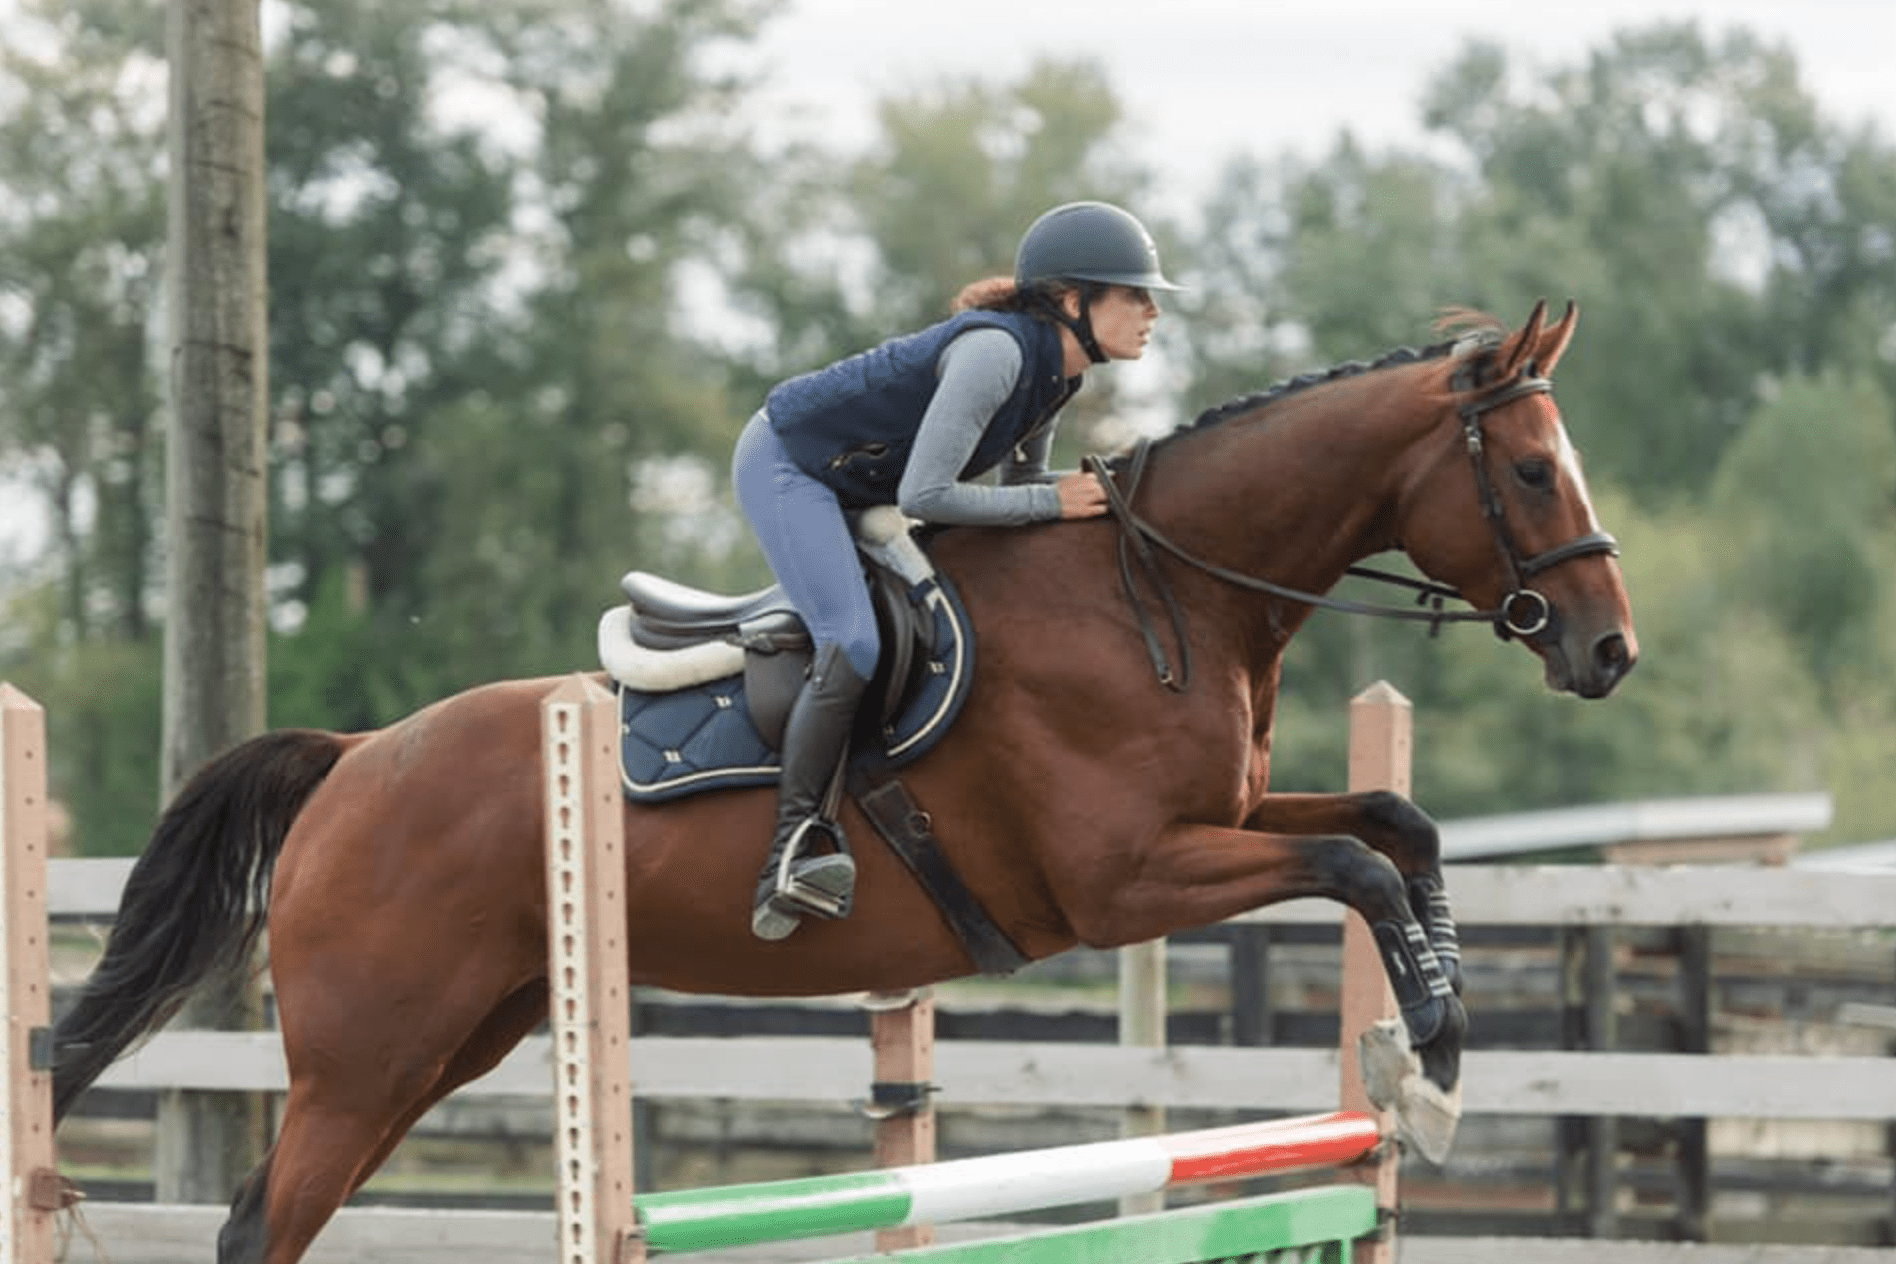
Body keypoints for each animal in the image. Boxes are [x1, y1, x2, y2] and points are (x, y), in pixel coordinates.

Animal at [50, 299, 1635, 1264]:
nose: (1610, 650)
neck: (1165, 594)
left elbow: (1393, 824)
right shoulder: (1129, 880)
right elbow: (1357, 864)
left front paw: (1435, 1054)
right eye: (1534, 473)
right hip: (371, 1050)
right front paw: (1428, 1054)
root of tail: (351, 762)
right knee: (260, 1225)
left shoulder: (1226, 820)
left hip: (454, 1037)